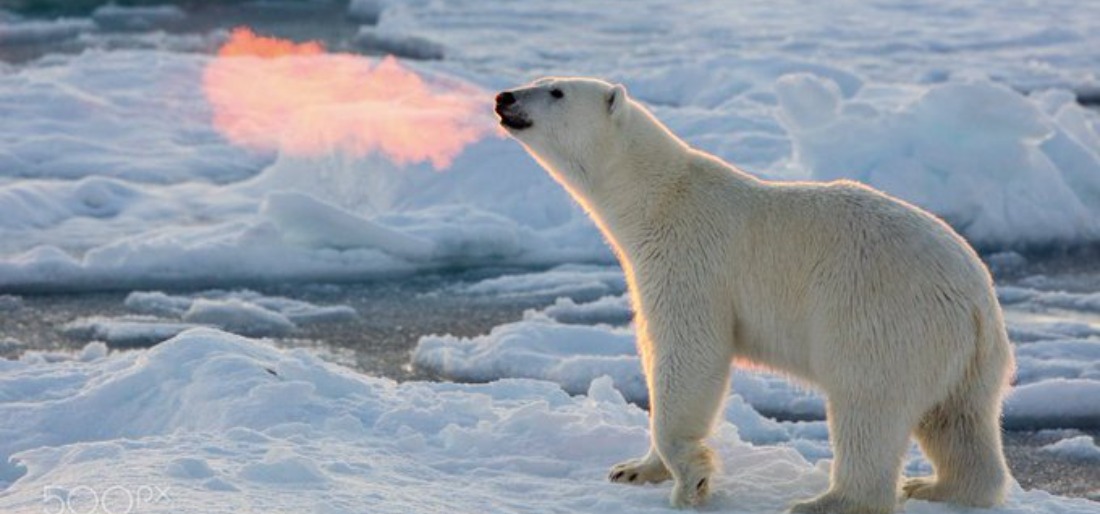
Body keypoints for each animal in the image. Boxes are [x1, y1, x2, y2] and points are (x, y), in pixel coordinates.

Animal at [494, 77, 1014, 514]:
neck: (656, 197)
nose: (504, 97)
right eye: (540, 78)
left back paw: (826, 502)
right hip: (966, 358)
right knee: (959, 421)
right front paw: (634, 469)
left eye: (556, 91)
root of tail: (975, 301)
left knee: (868, 407)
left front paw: (691, 481)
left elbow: (690, 352)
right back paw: (938, 486)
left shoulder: (689, 258)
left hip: (884, 318)